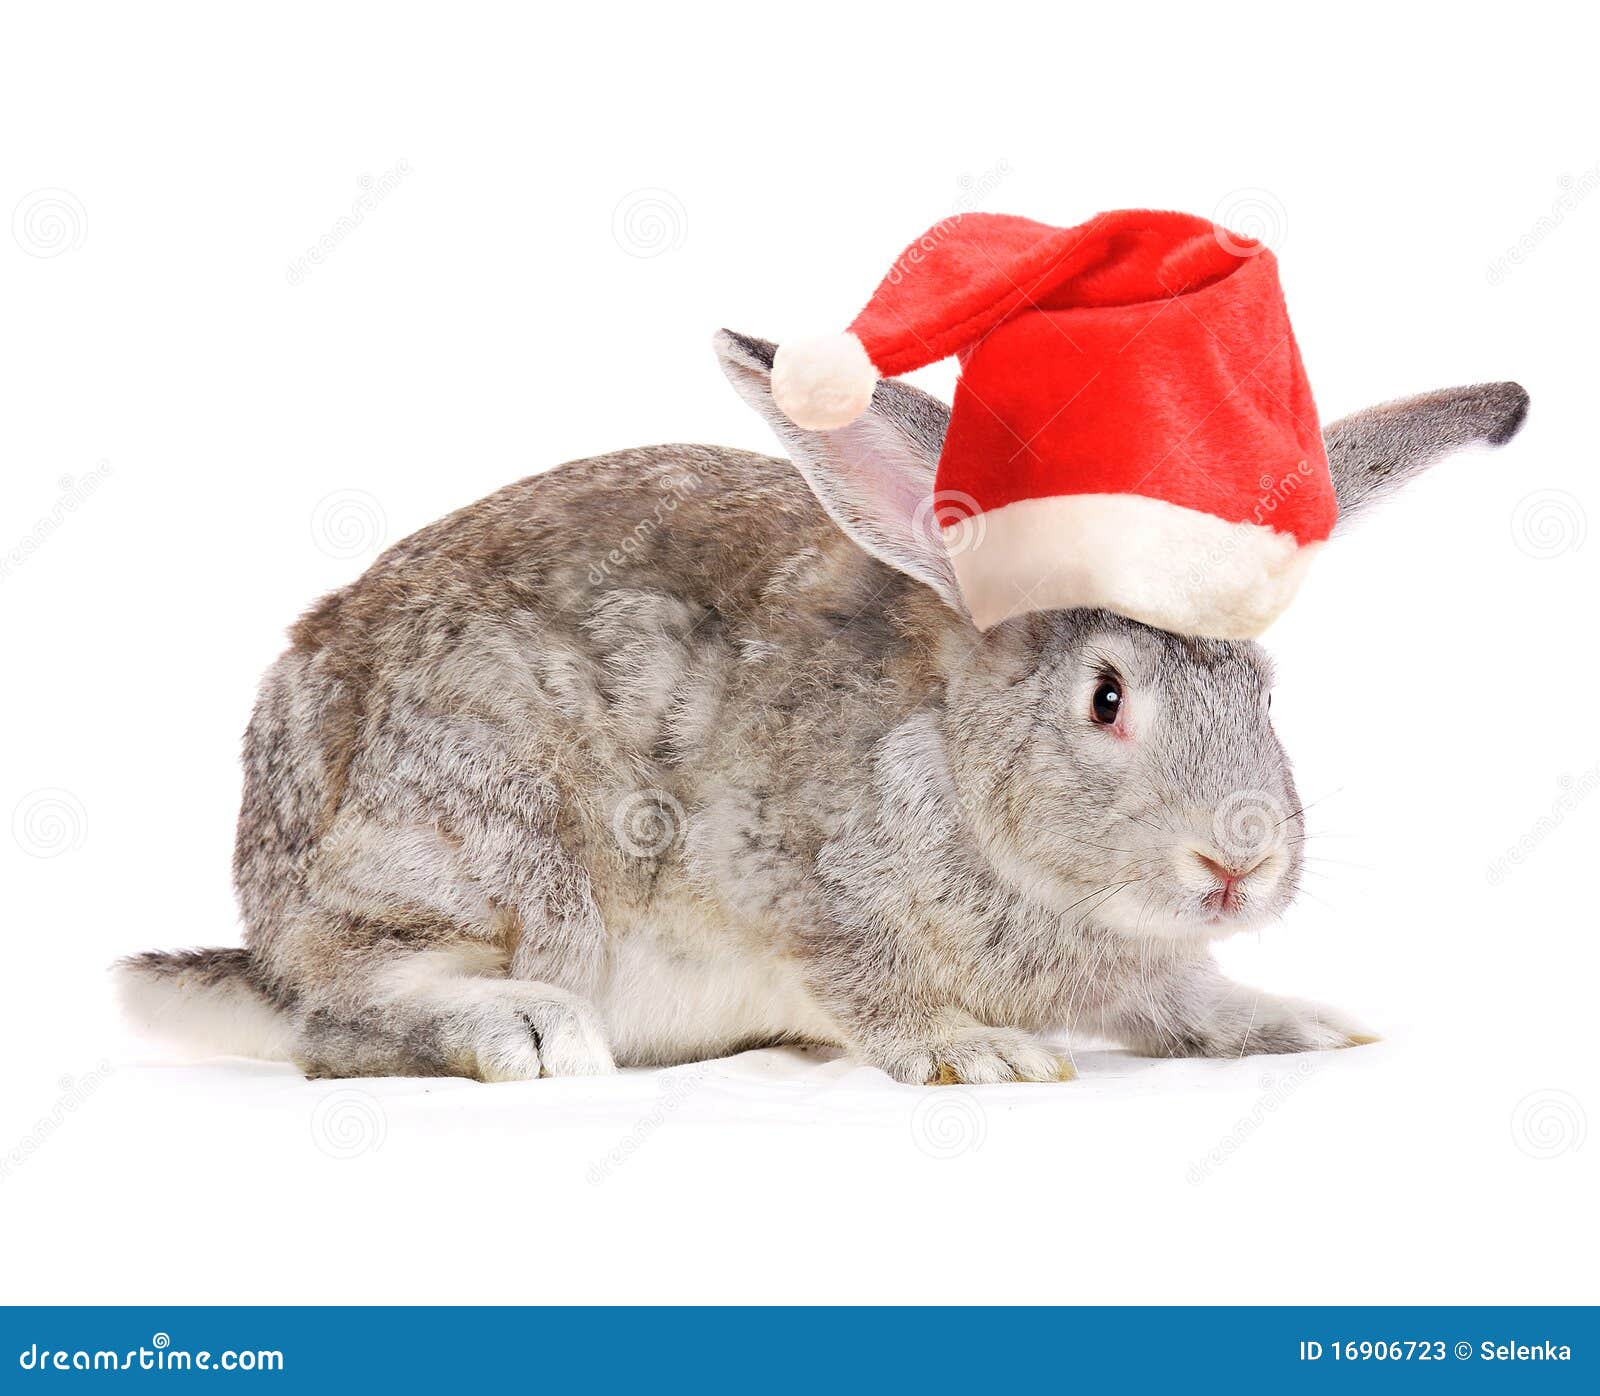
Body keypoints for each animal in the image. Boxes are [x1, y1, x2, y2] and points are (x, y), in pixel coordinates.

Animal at [116, 331, 1530, 1084]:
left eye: (1264, 690)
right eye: (1106, 697)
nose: (1240, 862)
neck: (958, 766)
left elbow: (1178, 997)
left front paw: (1302, 1022)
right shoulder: (797, 882)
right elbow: (874, 980)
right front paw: (979, 1053)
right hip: (482, 842)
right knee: (345, 1014)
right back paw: (525, 1026)